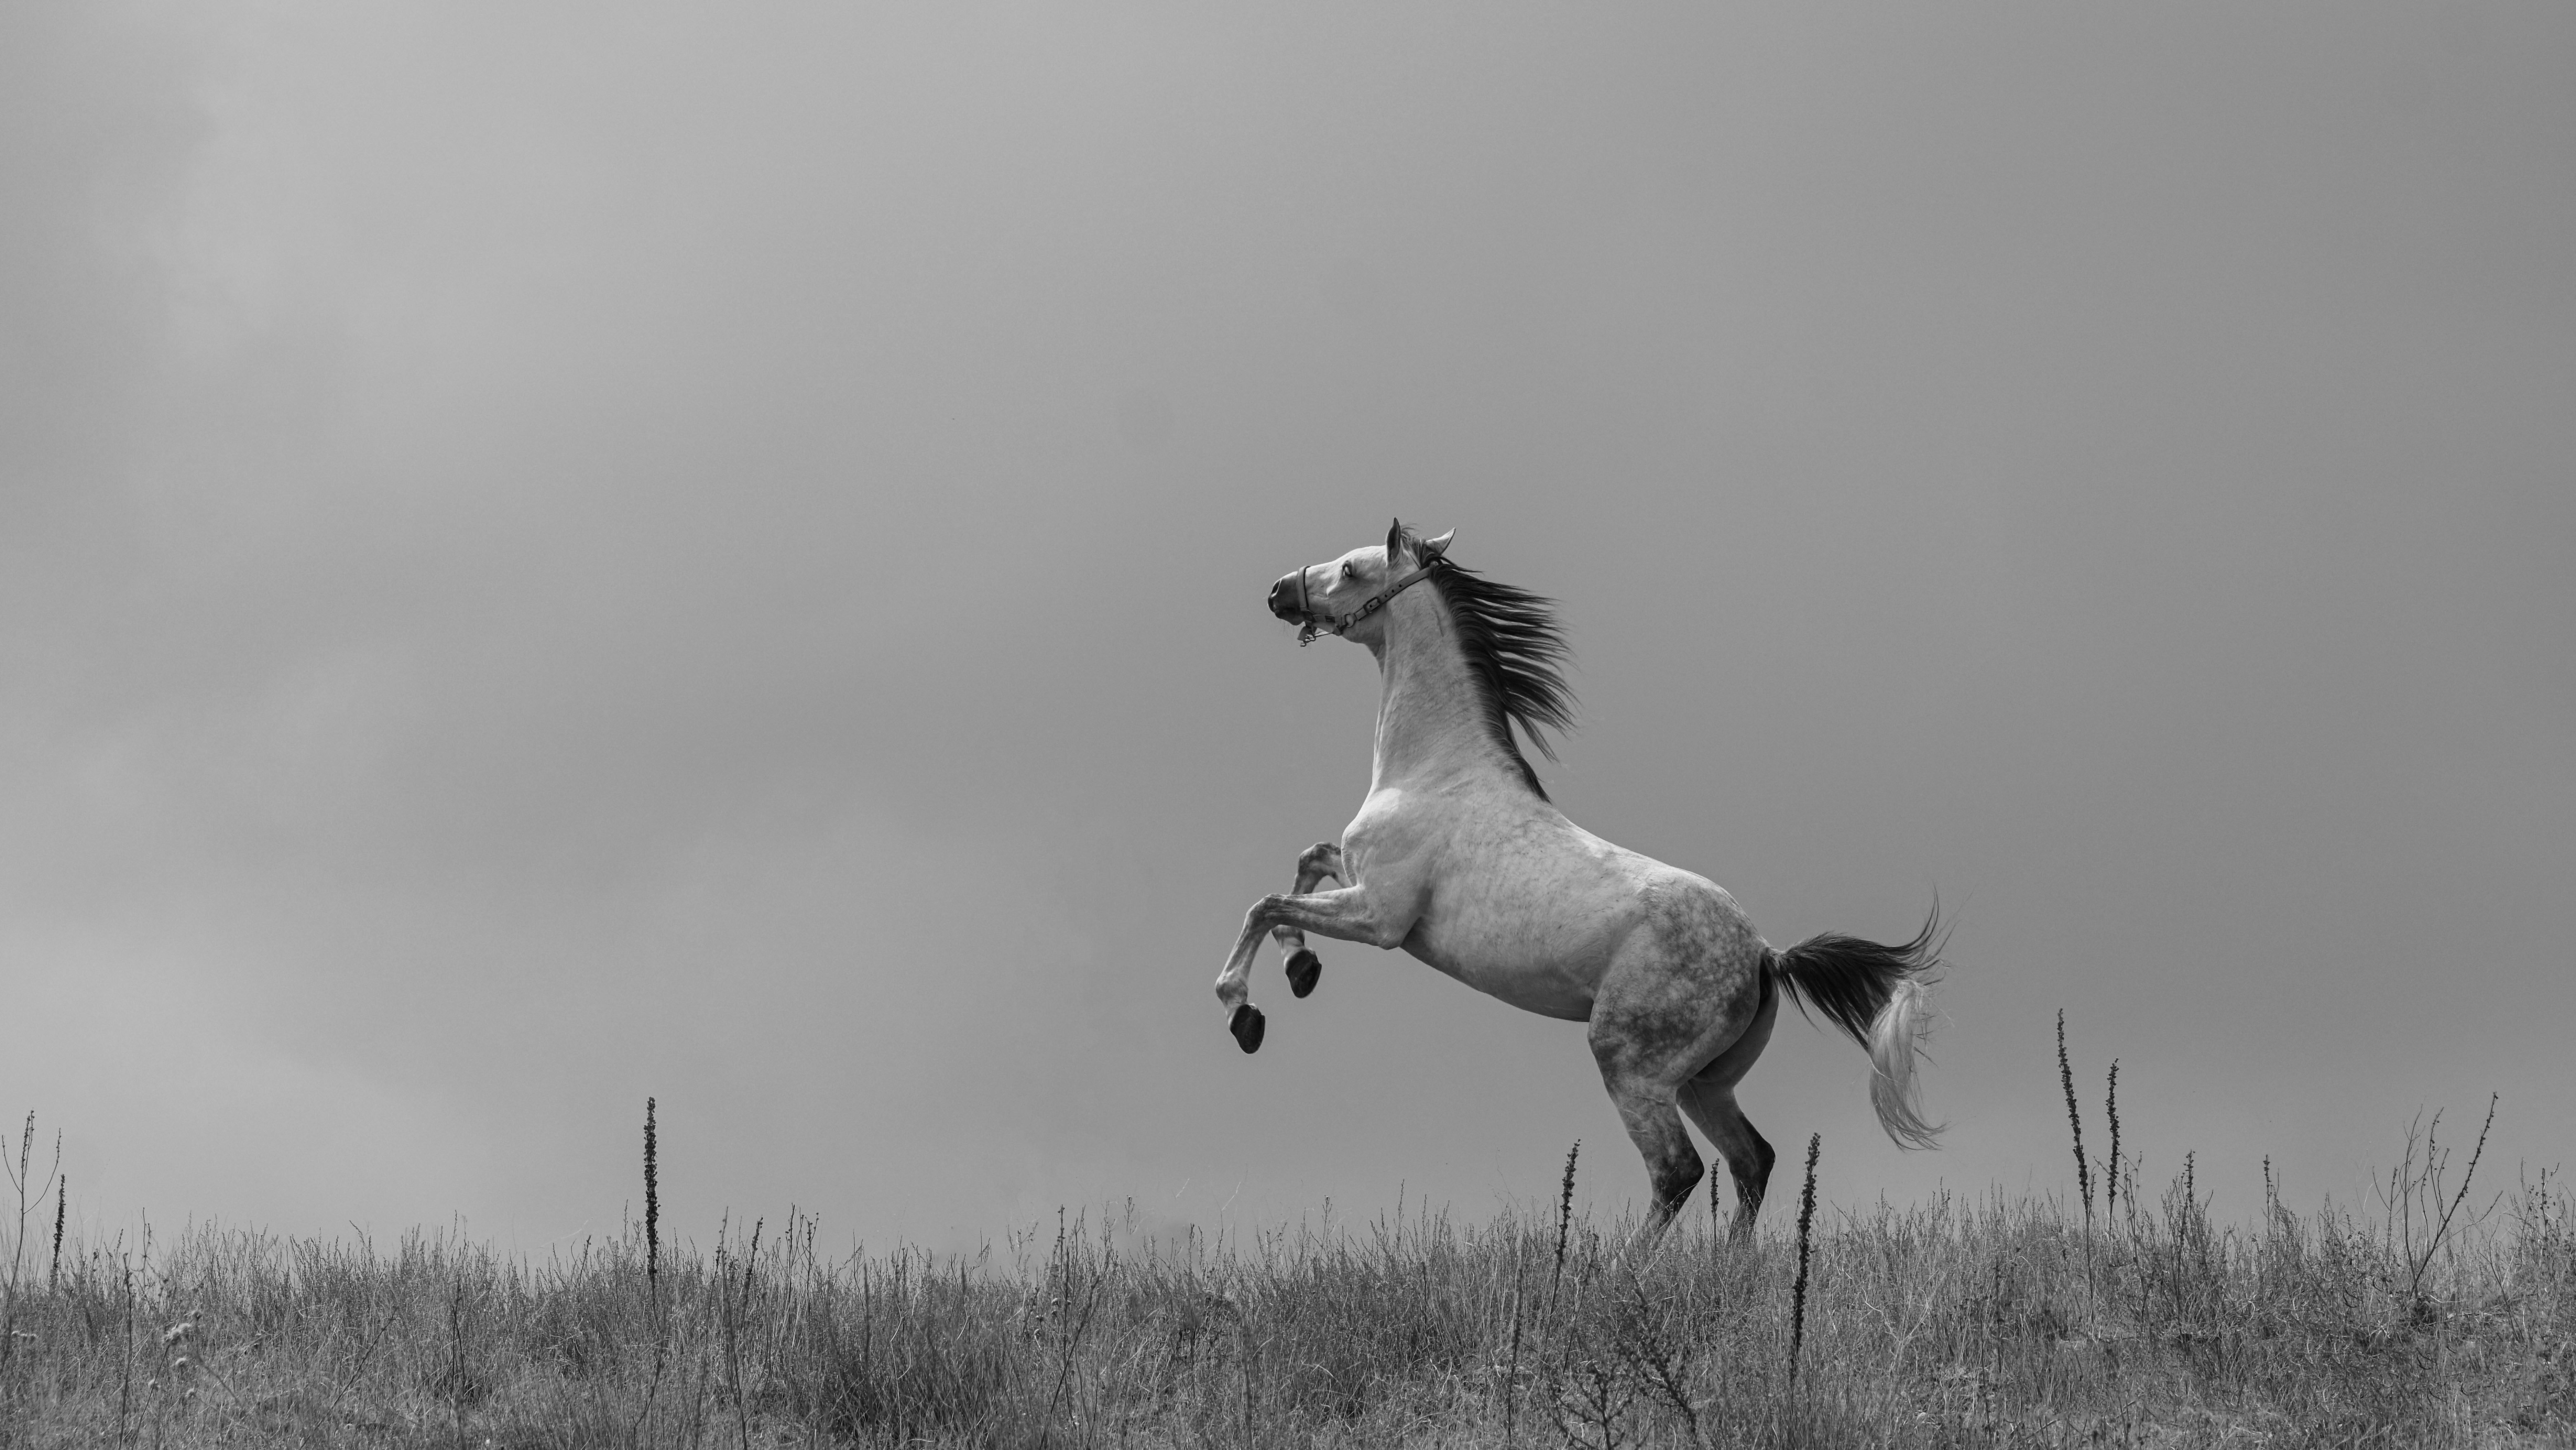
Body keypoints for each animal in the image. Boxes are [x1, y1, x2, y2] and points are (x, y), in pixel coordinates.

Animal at [1212, 520, 1942, 1243]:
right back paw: (1729, 1267)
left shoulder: (1380, 918)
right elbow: (1307, 862)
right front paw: (1301, 971)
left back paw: (1615, 1269)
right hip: (1704, 1083)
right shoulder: (1358, 881)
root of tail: (1765, 956)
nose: (1280, 592)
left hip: (1630, 1066)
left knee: (1678, 1170)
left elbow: (1265, 905)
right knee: (1751, 1161)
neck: (1433, 770)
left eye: (1352, 570)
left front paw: (1245, 1010)